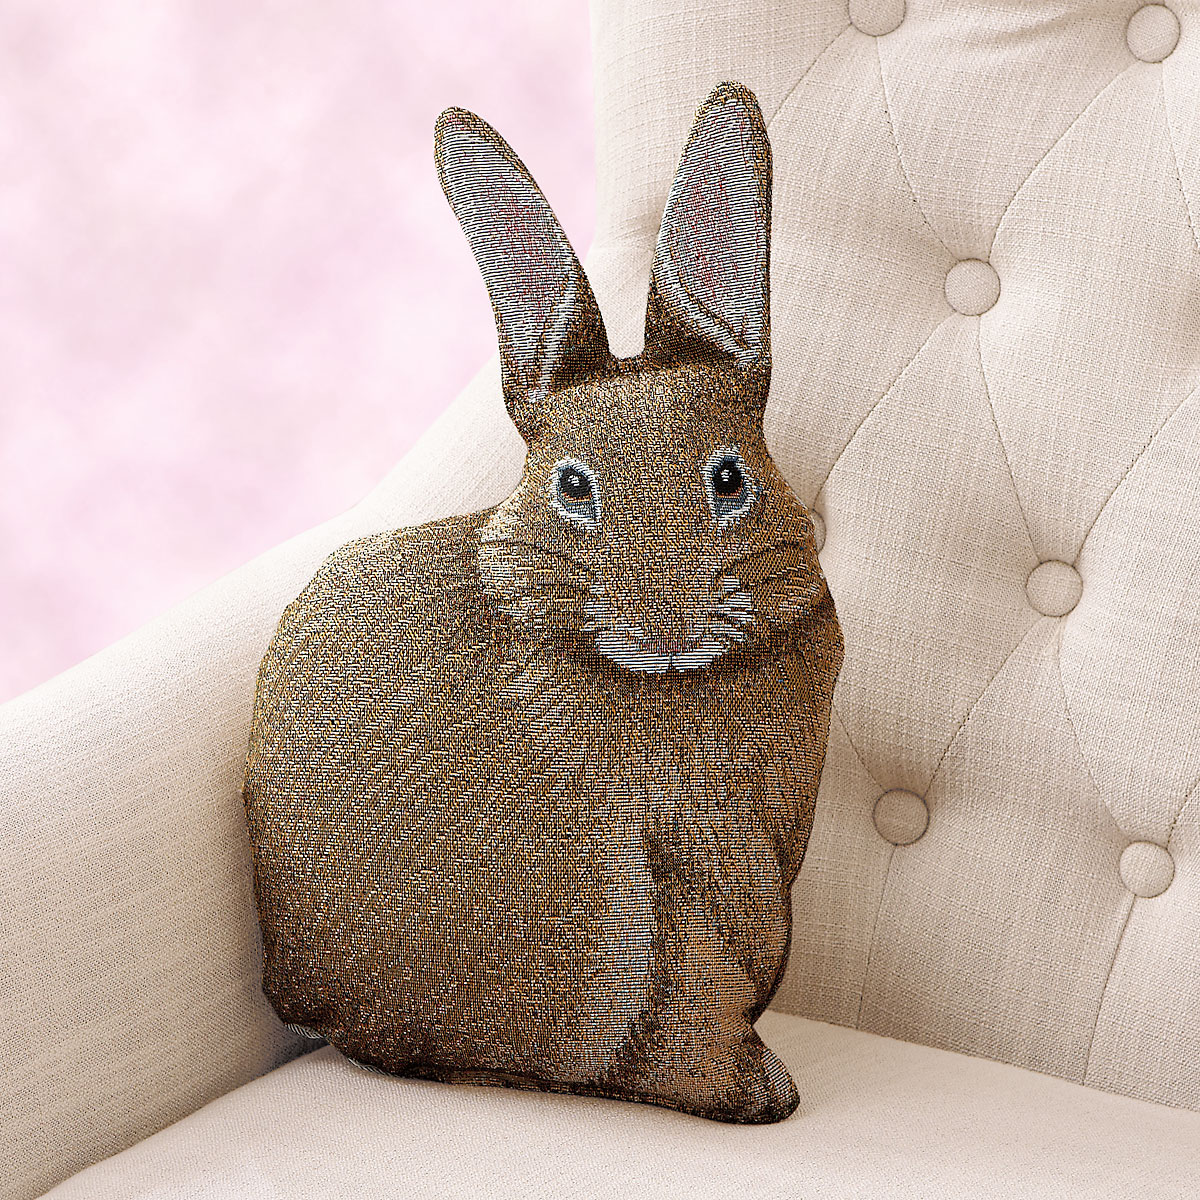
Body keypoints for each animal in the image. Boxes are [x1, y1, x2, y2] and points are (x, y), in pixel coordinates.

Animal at [243, 81, 843, 1125]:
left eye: (730, 478)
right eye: (572, 485)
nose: (666, 625)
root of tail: (322, 1012)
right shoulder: (696, 850)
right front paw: (748, 1089)